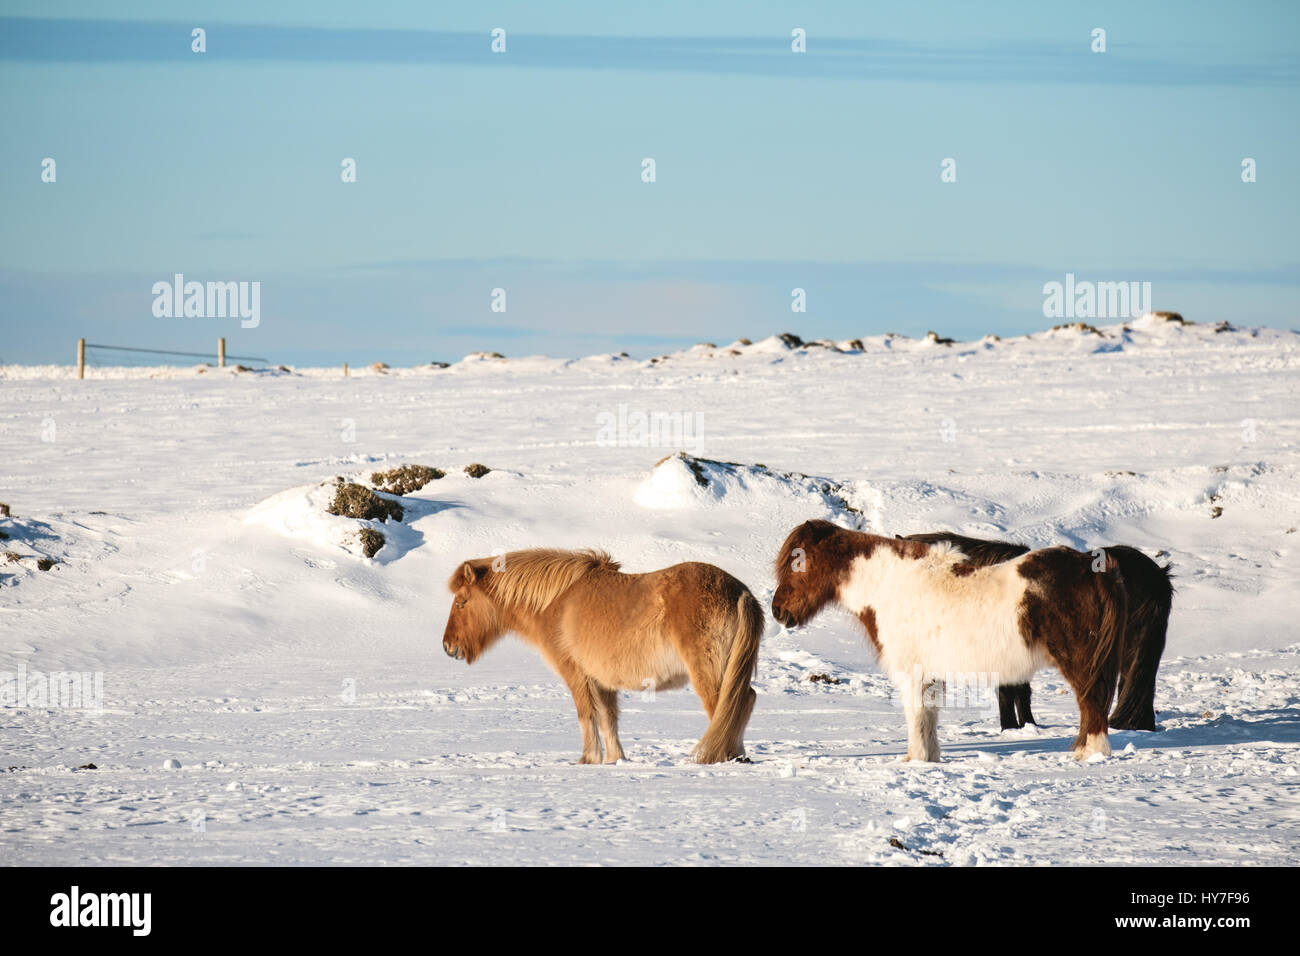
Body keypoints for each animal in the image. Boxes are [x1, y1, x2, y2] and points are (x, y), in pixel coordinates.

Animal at [440, 548, 763, 764]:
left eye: (461, 602)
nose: (448, 647)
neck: (557, 602)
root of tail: (740, 592)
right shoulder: (603, 681)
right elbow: (609, 718)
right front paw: (615, 760)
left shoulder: (576, 674)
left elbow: (587, 714)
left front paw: (588, 759)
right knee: (743, 701)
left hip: (708, 672)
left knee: (725, 706)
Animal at [770, 520, 1128, 762]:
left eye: (797, 561)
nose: (777, 610)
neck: (889, 585)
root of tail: (1090, 568)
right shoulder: (930, 676)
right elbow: (928, 720)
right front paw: (928, 760)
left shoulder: (912, 674)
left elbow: (916, 718)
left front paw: (913, 760)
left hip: (1081, 664)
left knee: (1091, 705)